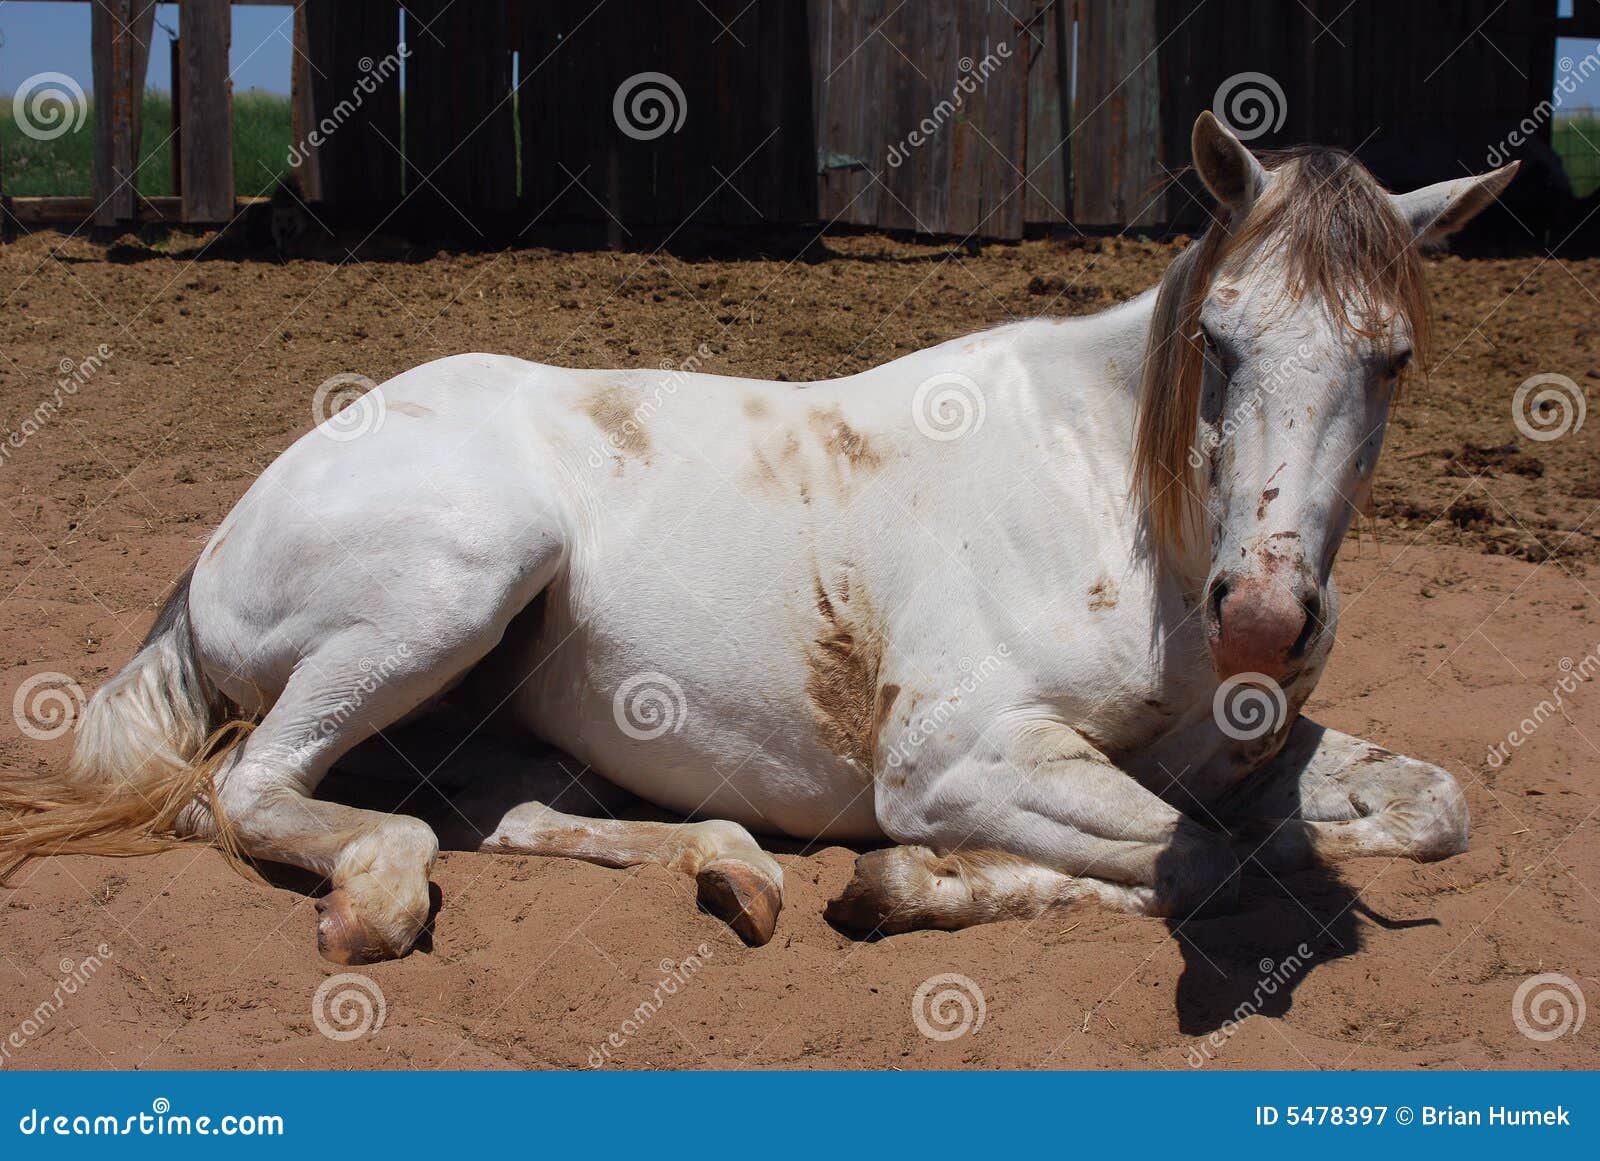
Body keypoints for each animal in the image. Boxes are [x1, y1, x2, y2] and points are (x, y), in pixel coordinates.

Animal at [3, 113, 1516, 964]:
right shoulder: (956, 761)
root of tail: (215, 553)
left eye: (1392, 359)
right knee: (251, 791)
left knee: (488, 808)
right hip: (451, 590)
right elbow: (1204, 864)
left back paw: (730, 872)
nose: (1262, 620)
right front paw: (900, 885)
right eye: (1219, 341)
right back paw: (382, 895)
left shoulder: (1235, 750)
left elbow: (1417, 812)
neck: (1119, 516)